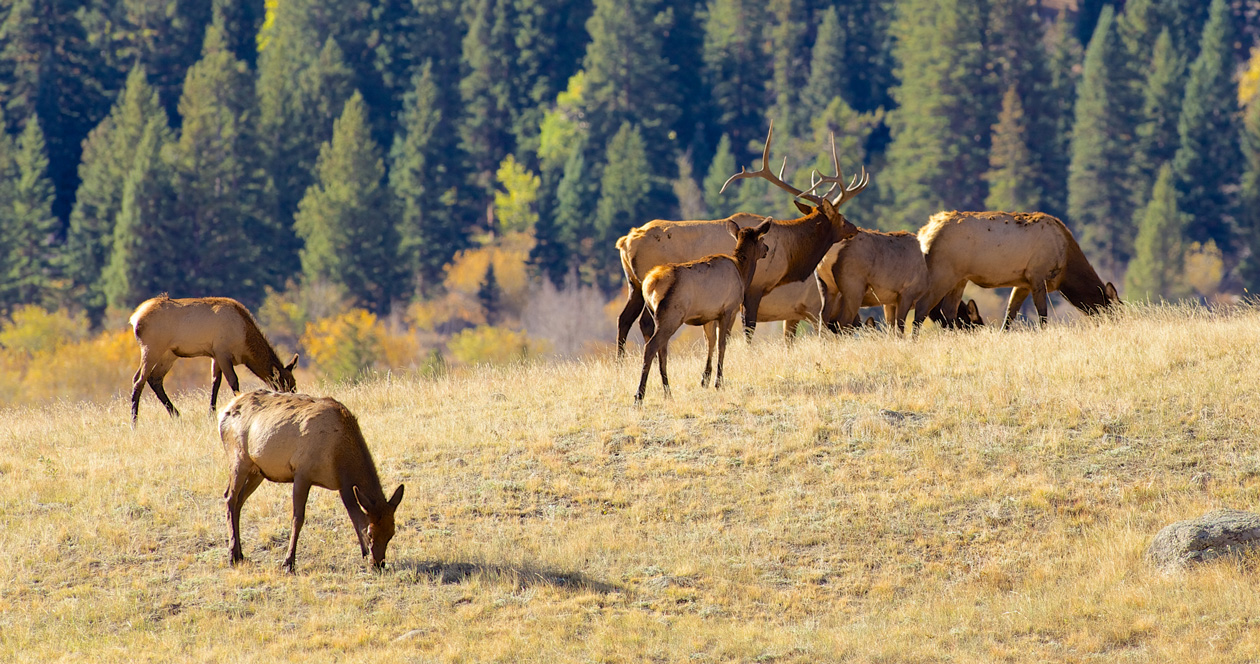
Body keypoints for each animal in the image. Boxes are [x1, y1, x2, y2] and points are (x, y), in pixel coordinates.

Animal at [128, 295, 298, 423]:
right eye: (285, 384)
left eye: (294, 383)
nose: (294, 399)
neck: (244, 341)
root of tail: (135, 318)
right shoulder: (222, 352)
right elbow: (233, 381)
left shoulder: (215, 355)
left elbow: (215, 383)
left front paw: (211, 415)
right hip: (152, 348)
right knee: (139, 380)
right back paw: (134, 422)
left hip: (169, 354)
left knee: (154, 378)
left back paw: (176, 415)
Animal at [219, 390, 405, 573]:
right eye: (370, 533)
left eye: (392, 532)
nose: (379, 564)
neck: (339, 456)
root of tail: (224, 412)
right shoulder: (302, 473)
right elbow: (298, 518)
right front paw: (288, 563)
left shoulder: (343, 486)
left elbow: (354, 516)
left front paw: (364, 554)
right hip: (238, 459)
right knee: (230, 497)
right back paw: (232, 555)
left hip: (257, 470)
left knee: (240, 501)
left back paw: (240, 553)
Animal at [616, 121, 867, 355]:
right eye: (841, 217)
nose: (855, 228)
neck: (790, 254)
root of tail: (625, 241)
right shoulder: (755, 286)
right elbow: (749, 326)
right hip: (649, 283)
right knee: (645, 322)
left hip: (634, 283)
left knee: (624, 319)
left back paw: (621, 361)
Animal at [635, 220, 773, 402]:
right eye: (761, 238)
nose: (767, 248)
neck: (742, 274)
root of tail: (649, 284)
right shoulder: (729, 309)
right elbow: (722, 344)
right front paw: (718, 382)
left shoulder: (709, 315)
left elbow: (710, 342)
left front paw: (704, 379)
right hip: (671, 315)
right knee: (651, 347)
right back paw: (639, 395)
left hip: (656, 314)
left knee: (662, 351)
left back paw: (668, 392)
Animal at [913, 211, 1120, 329]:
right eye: (1117, 312)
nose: (1121, 326)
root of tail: (924, 232)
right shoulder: (1037, 275)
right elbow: (1042, 313)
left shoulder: (1023, 283)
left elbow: (1010, 315)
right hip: (942, 273)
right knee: (922, 306)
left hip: (959, 278)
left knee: (948, 310)